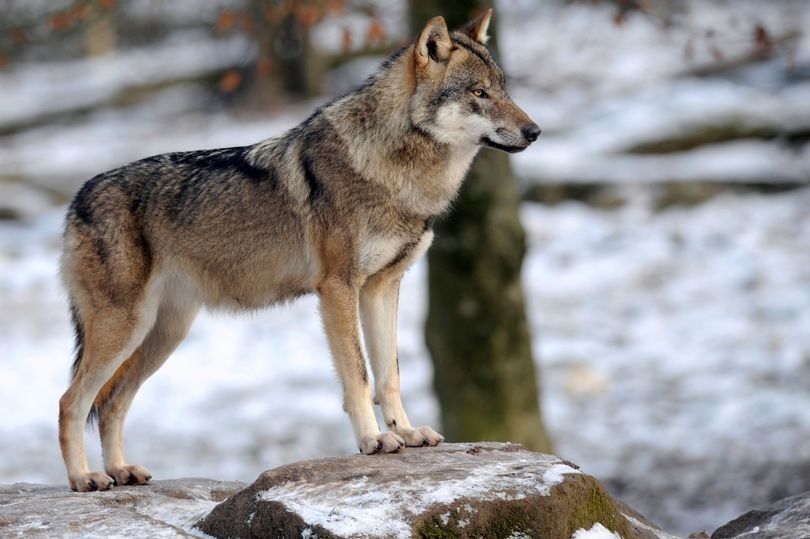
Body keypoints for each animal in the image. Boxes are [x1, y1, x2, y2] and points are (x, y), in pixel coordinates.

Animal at [58, 9, 540, 492]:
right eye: (478, 93)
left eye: (503, 88)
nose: (535, 131)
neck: (394, 170)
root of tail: (77, 199)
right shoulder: (338, 288)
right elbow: (359, 376)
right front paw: (374, 440)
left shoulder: (382, 287)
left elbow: (390, 375)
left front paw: (405, 432)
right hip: (126, 329)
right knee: (71, 401)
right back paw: (85, 478)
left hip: (162, 334)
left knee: (112, 403)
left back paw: (121, 471)